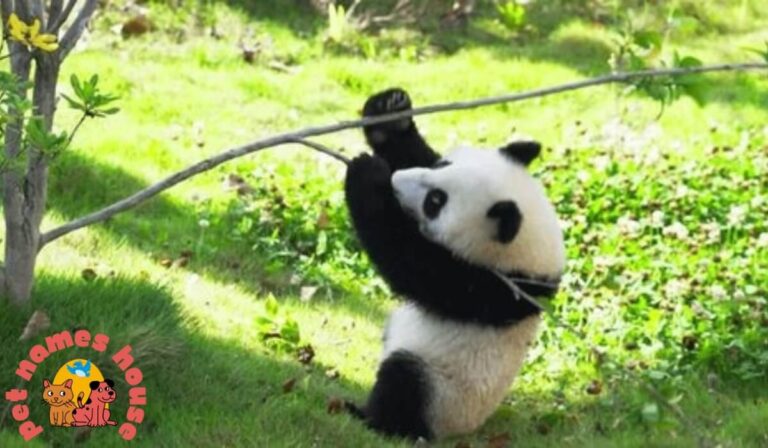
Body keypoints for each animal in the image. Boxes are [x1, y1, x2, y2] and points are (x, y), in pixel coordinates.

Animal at [343, 88, 566, 440]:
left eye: (435, 201)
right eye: (443, 163)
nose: (396, 180)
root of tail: (464, 431)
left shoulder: (489, 290)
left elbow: (410, 264)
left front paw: (368, 175)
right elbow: (412, 153)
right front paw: (391, 110)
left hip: (444, 389)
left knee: (404, 382)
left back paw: (373, 419)